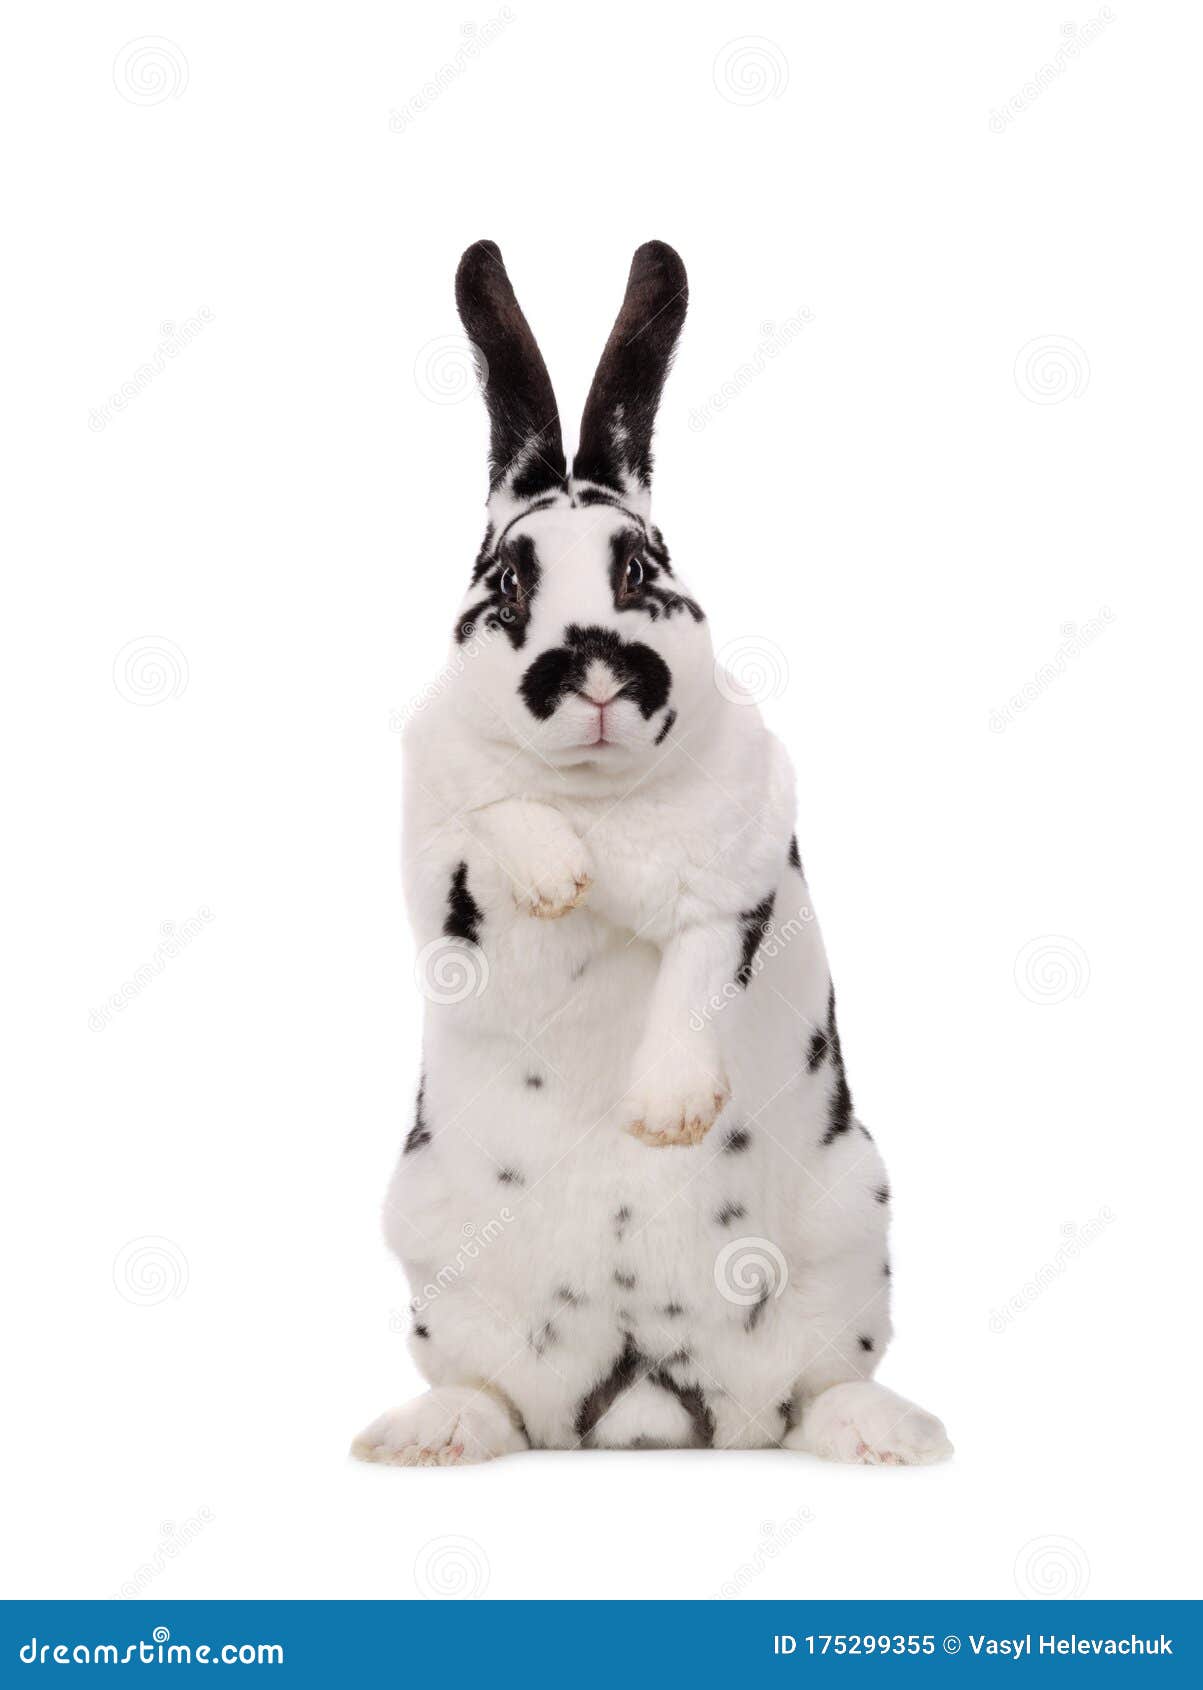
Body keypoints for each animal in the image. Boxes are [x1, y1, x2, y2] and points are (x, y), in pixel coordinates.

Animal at [352, 241, 952, 1467]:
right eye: (508, 581)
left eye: (642, 570)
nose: (593, 671)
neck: (602, 799)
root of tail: (642, 1397)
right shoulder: (439, 832)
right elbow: (498, 804)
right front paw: (556, 877)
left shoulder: (742, 874)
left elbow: (694, 976)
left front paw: (666, 1114)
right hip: (430, 1241)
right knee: (494, 1398)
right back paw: (424, 1436)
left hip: (852, 1226)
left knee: (817, 1392)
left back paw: (889, 1437)